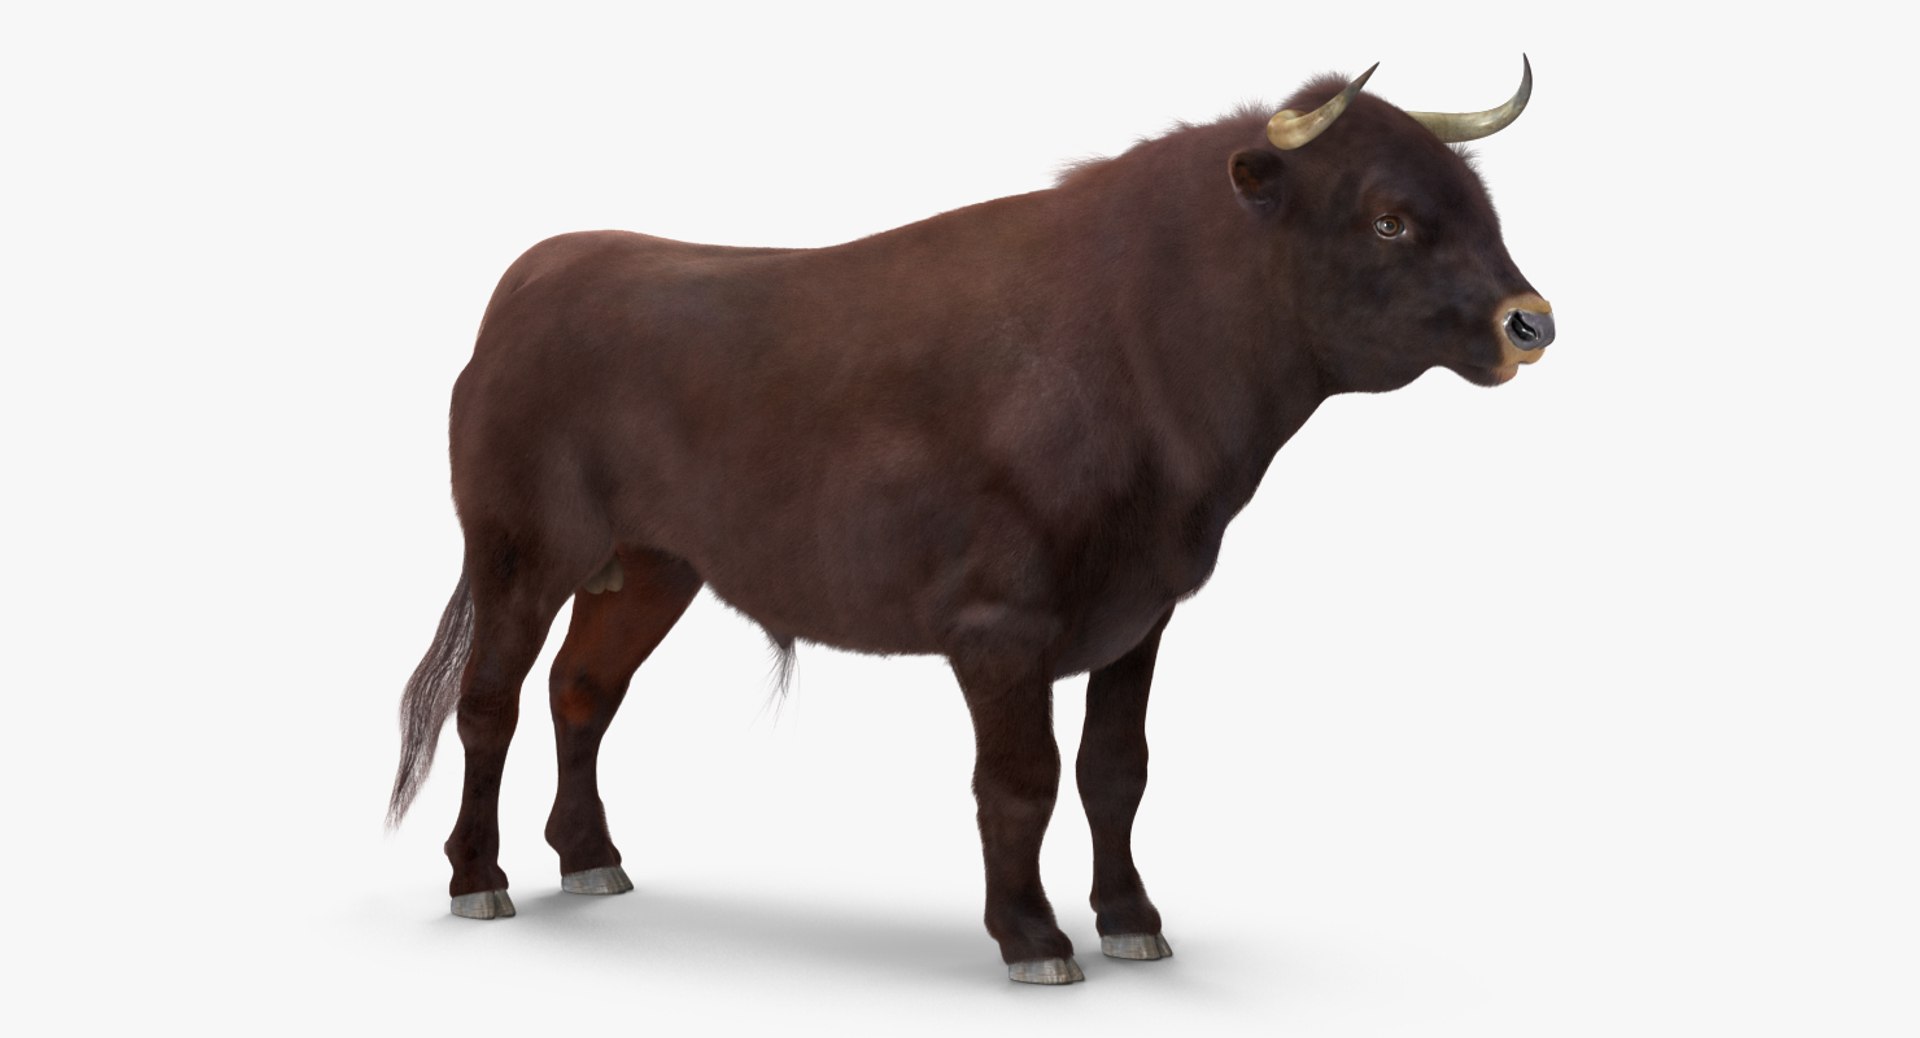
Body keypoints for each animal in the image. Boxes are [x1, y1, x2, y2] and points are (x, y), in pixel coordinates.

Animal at [387, 59, 1555, 985]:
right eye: (1389, 218)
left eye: (1479, 205)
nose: (1530, 321)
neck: (1141, 342)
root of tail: (548, 265)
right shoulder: (1002, 625)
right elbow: (1020, 780)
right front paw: (1032, 937)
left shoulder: (1142, 612)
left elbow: (1115, 771)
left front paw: (1131, 920)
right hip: (520, 550)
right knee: (489, 700)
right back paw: (479, 876)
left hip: (653, 563)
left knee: (583, 689)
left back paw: (590, 858)